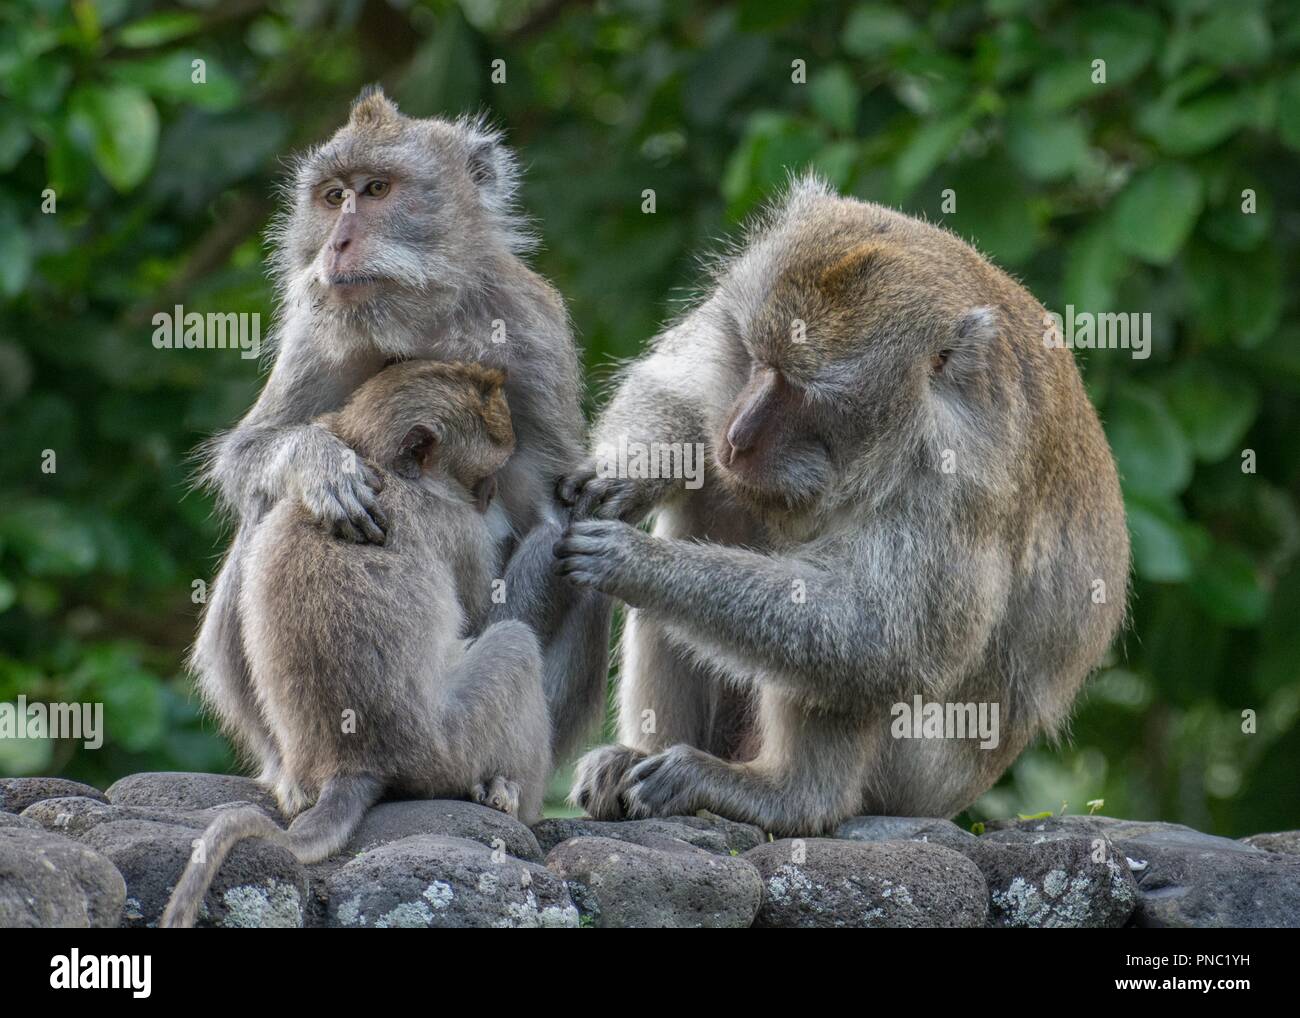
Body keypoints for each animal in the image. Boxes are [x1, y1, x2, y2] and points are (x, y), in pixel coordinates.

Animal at [161, 360, 550, 928]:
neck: (380, 464)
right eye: (483, 474)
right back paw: (512, 796)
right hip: (451, 743)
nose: (491, 495)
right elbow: (484, 610)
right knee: (516, 645)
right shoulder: (460, 530)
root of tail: (353, 761)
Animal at [193, 86, 609, 792]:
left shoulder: (532, 332)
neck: (418, 321)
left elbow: (555, 499)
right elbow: (250, 451)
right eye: (333, 196)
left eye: (377, 189)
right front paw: (321, 463)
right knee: (265, 507)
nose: (337, 240)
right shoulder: (317, 327)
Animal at [555, 175, 1130, 837]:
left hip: (918, 780)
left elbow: (880, 635)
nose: (736, 436)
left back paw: (788, 796)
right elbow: (678, 384)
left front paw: (637, 564)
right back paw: (640, 758)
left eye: (803, 393)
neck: (910, 417)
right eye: (757, 359)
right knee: (710, 502)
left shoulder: (957, 480)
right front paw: (624, 477)